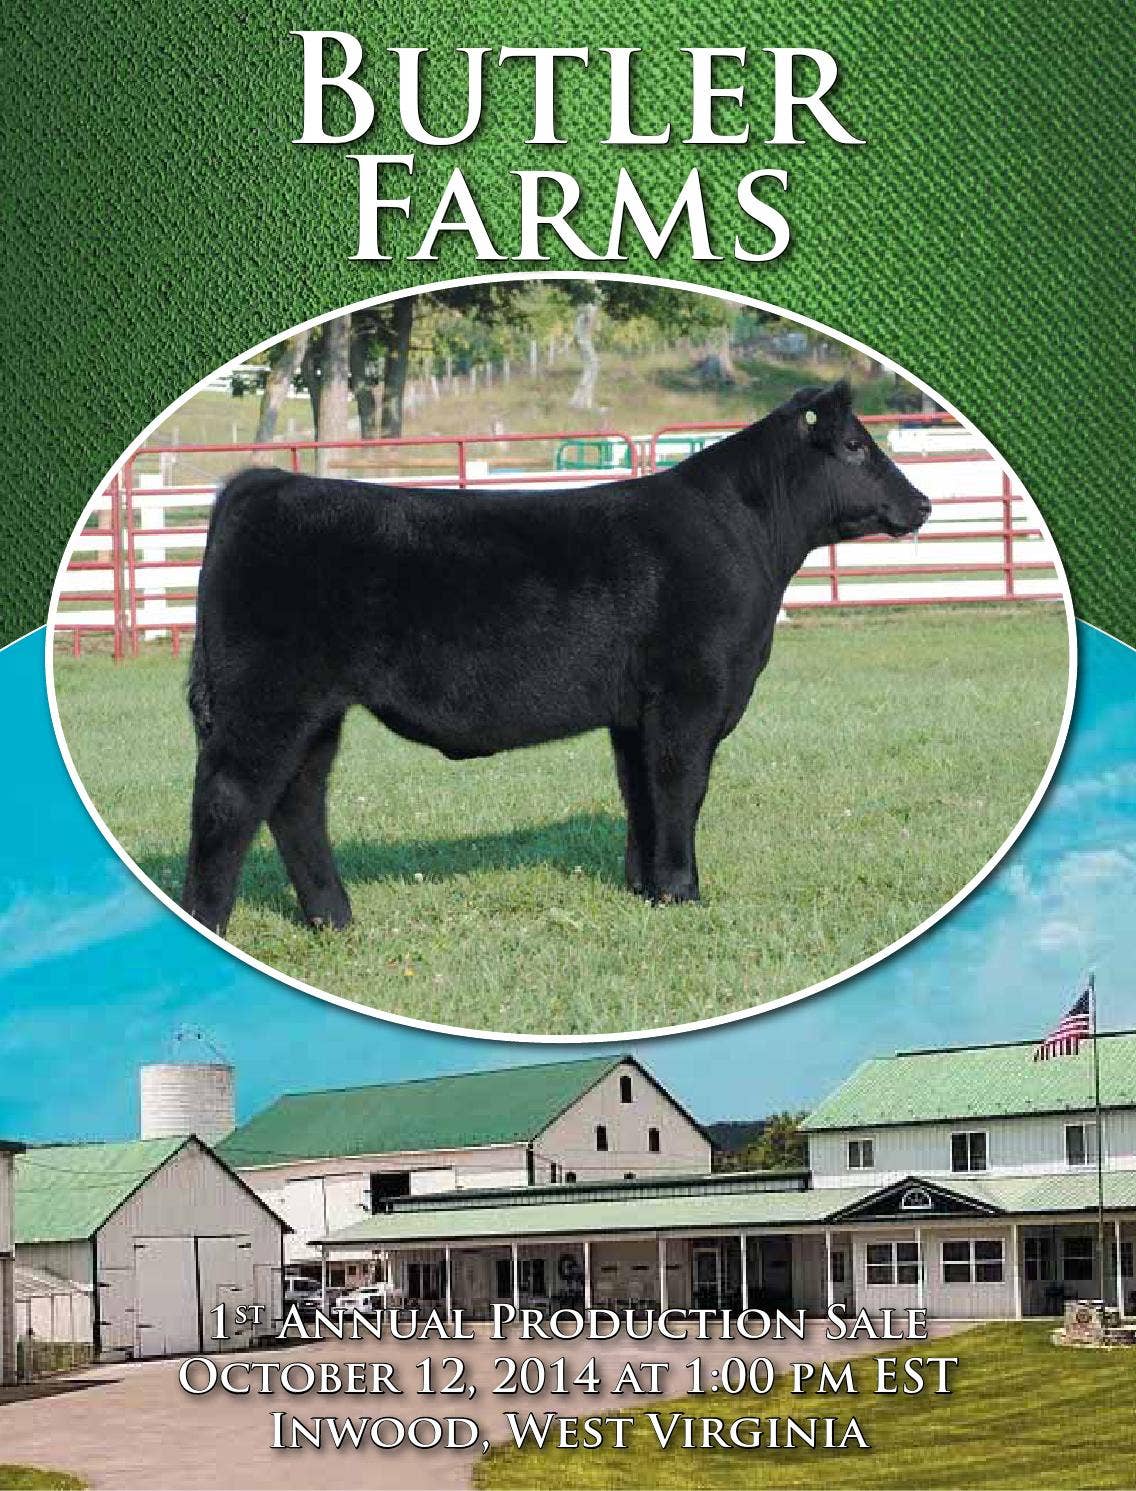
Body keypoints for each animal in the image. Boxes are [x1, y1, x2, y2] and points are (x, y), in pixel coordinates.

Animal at [181, 380, 931, 935]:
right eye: (855, 446)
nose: (922, 502)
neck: (745, 536)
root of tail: (263, 483)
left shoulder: (634, 711)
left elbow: (640, 795)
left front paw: (644, 889)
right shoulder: (690, 695)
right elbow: (680, 788)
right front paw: (683, 892)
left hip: (316, 710)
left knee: (297, 801)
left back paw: (334, 919)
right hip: (269, 700)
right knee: (230, 802)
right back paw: (210, 922)